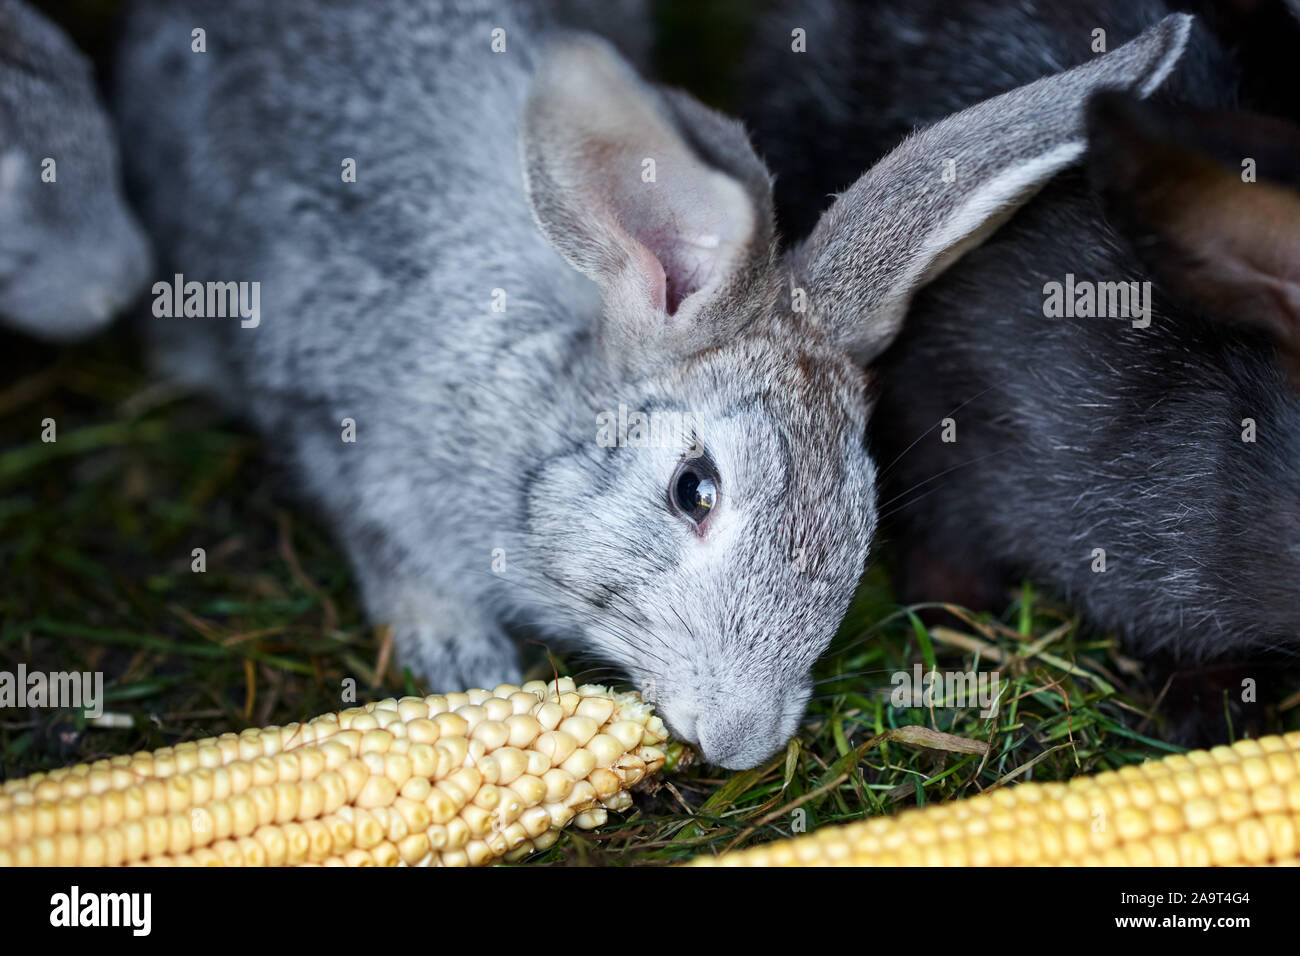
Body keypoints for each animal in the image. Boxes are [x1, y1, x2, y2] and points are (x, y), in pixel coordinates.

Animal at [111, 0, 1193, 768]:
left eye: (863, 506)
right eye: (693, 490)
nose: (741, 741)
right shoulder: (328, 416)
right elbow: (385, 546)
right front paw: (456, 655)